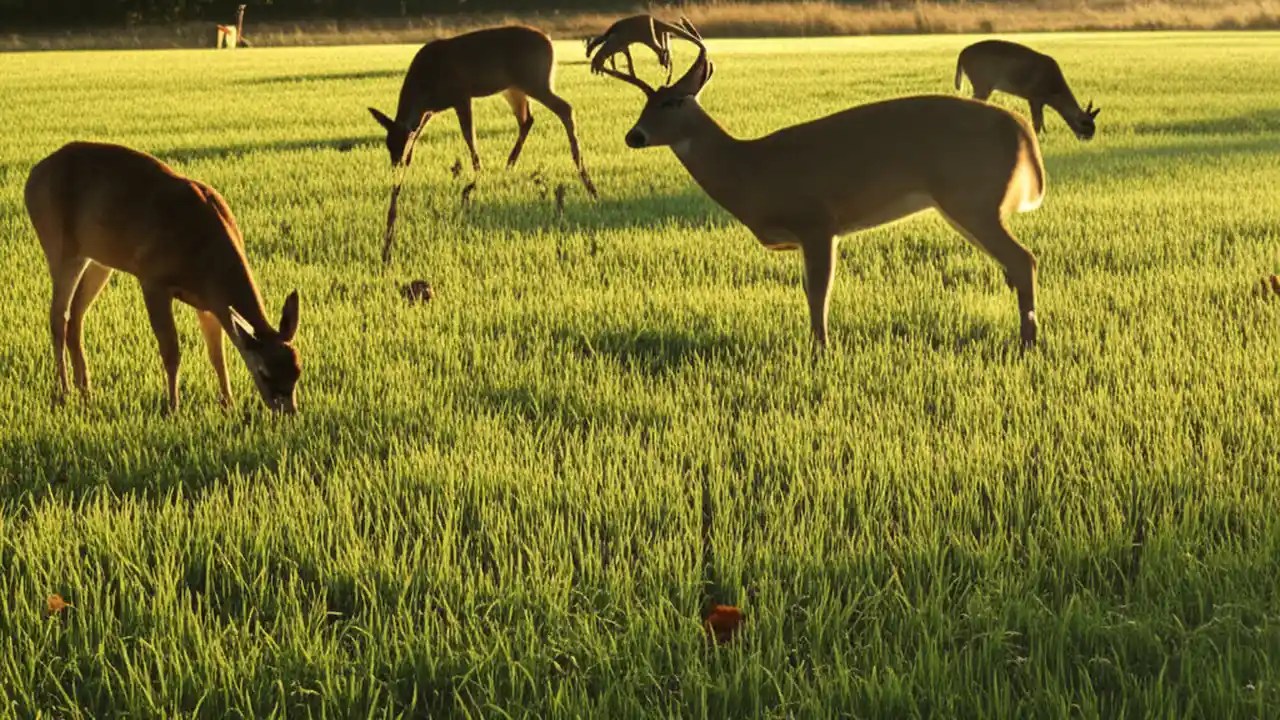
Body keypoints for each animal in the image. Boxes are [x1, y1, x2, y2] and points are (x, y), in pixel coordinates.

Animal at [24, 142, 302, 414]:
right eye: (264, 373)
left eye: (297, 372)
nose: (288, 412)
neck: (205, 257)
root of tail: (32, 178)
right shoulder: (152, 279)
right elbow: (171, 350)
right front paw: (173, 407)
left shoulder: (211, 302)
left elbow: (217, 354)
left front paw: (228, 404)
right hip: (60, 246)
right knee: (58, 316)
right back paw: (65, 391)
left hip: (99, 260)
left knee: (76, 316)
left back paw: (86, 391)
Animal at [368, 25, 598, 198]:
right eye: (388, 144)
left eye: (401, 142)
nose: (396, 164)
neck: (425, 88)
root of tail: (550, 42)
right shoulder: (430, 110)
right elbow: (419, 132)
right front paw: (409, 163)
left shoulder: (461, 94)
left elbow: (468, 133)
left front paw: (478, 170)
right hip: (513, 88)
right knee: (527, 119)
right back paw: (509, 164)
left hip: (535, 80)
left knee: (564, 108)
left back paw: (580, 165)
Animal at [597, 21, 1048, 349]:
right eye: (644, 104)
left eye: (672, 102)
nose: (633, 136)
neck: (749, 171)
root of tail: (1021, 129)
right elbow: (810, 290)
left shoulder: (817, 220)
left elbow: (818, 291)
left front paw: (822, 349)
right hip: (960, 204)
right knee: (1014, 262)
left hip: (971, 197)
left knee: (1023, 259)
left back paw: (1027, 343)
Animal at [955, 39, 1100, 140]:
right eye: (1086, 124)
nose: (1088, 138)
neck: (1054, 93)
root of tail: (961, 54)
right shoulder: (1034, 96)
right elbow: (1036, 122)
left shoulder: (1039, 100)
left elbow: (1040, 120)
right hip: (982, 82)